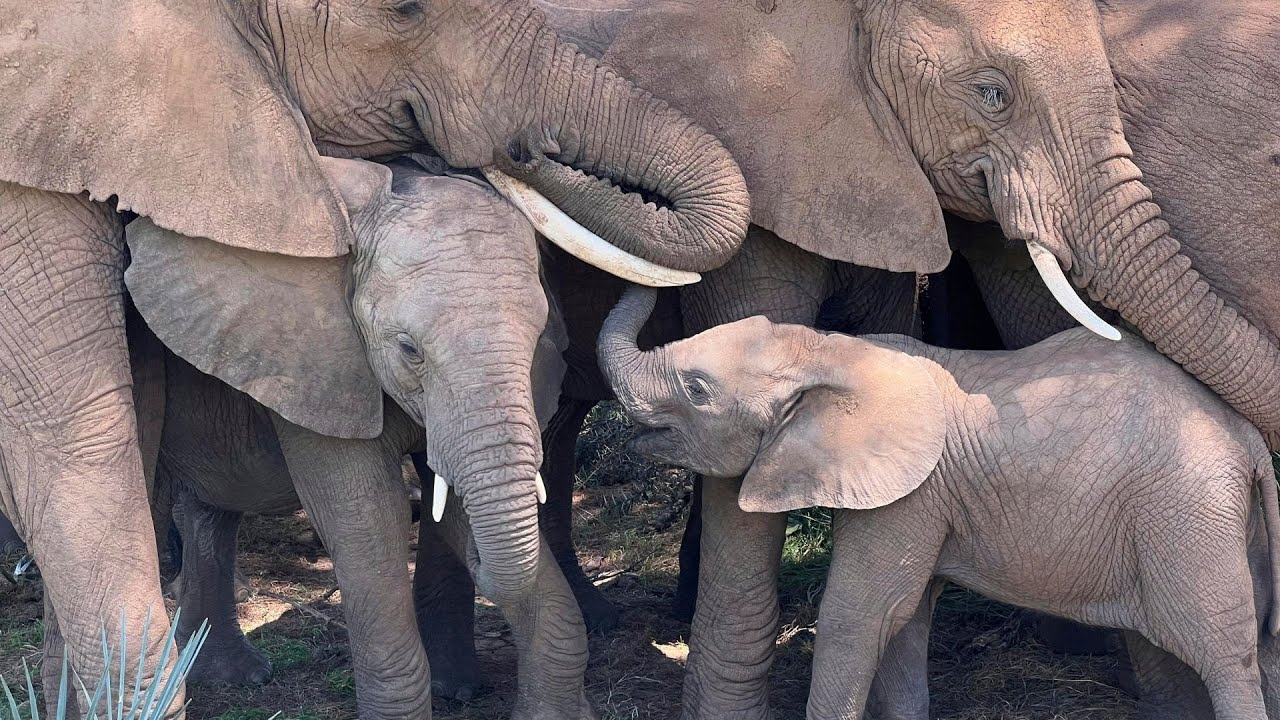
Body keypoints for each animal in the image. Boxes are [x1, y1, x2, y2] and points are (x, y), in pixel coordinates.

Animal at [121, 155, 592, 718]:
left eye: (539, 337)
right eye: (409, 349)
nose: (480, 566)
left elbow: (454, 502)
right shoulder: (313, 364)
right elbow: (368, 513)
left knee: (209, 511)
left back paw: (233, 678)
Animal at [598, 285, 1280, 720]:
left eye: (697, 389)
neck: (831, 350)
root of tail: (1245, 437)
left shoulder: (909, 495)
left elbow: (860, 616)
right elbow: (904, 620)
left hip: (1188, 512)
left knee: (1226, 655)